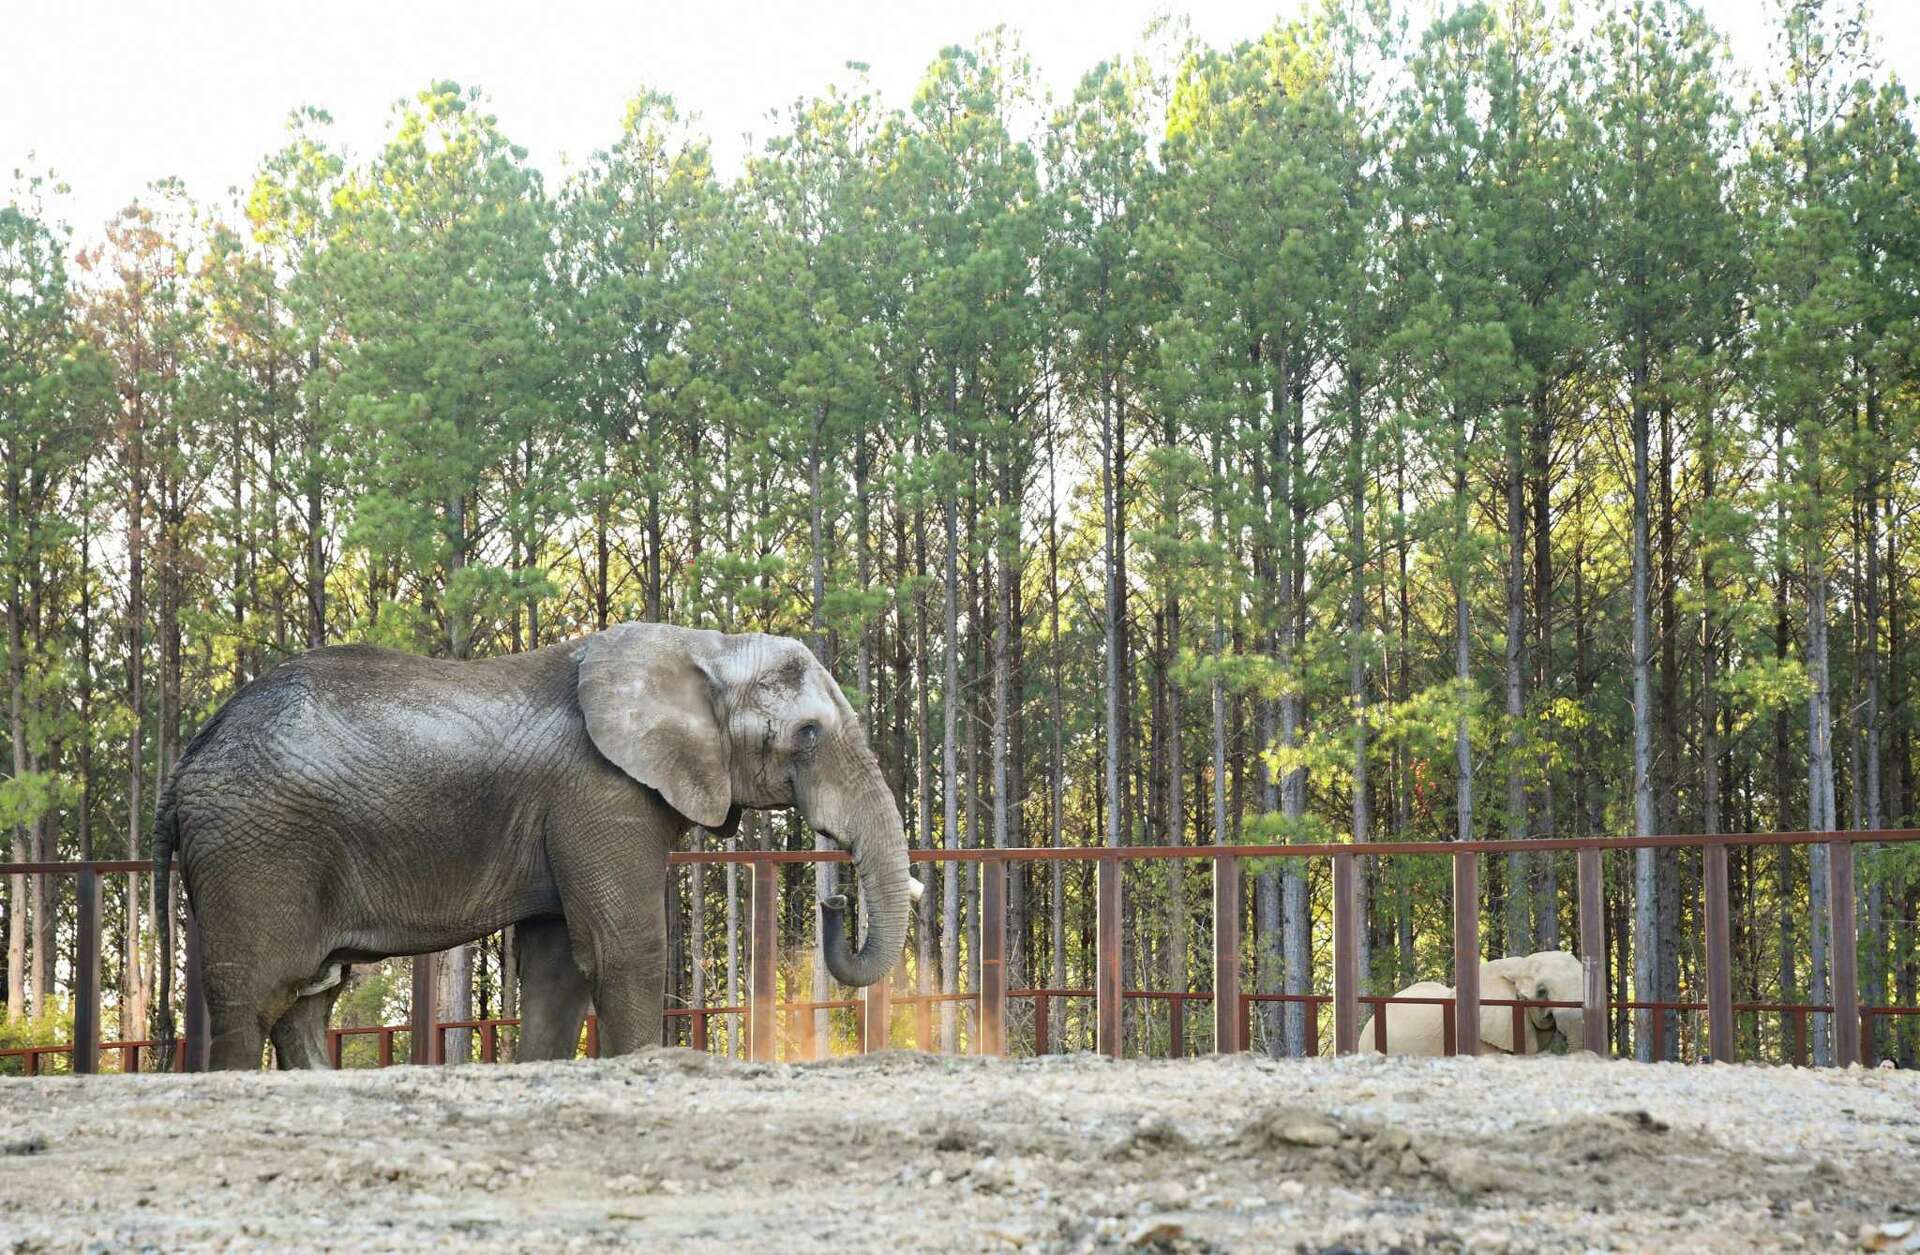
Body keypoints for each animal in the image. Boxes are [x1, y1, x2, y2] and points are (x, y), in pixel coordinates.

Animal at [151, 623, 916, 1071]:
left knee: (308, 997)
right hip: (256, 849)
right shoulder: (601, 792)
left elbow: (558, 965)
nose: (836, 903)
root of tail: (189, 756)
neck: (705, 644)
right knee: (255, 996)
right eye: (810, 734)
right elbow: (623, 947)